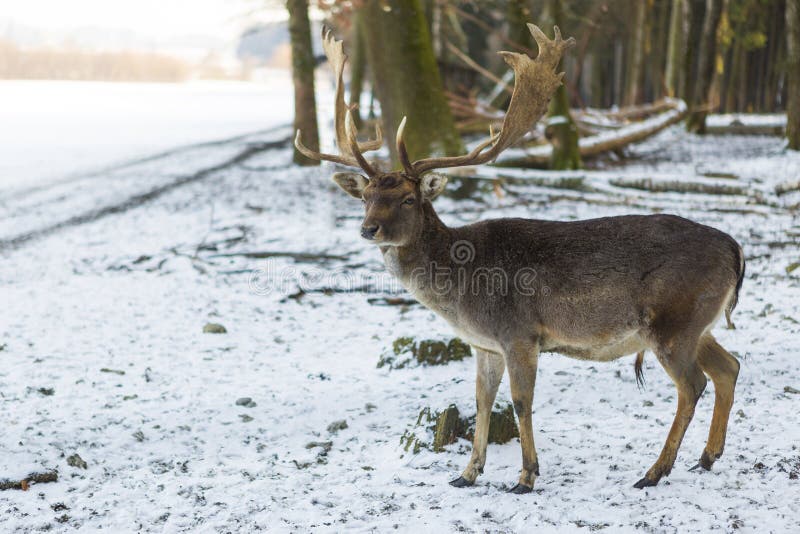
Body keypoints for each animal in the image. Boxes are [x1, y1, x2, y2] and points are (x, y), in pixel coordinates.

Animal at [296, 24, 745, 494]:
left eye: (406, 198)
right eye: (365, 196)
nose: (369, 229)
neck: (459, 289)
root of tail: (736, 249)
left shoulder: (520, 333)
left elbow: (520, 402)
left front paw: (526, 476)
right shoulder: (483, 344)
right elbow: (481, 400)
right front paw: (467, 473)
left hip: (673, 322)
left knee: (692, 384)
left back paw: (654, 471)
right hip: (698, 325)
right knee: (729, 367)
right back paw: (706, 457)